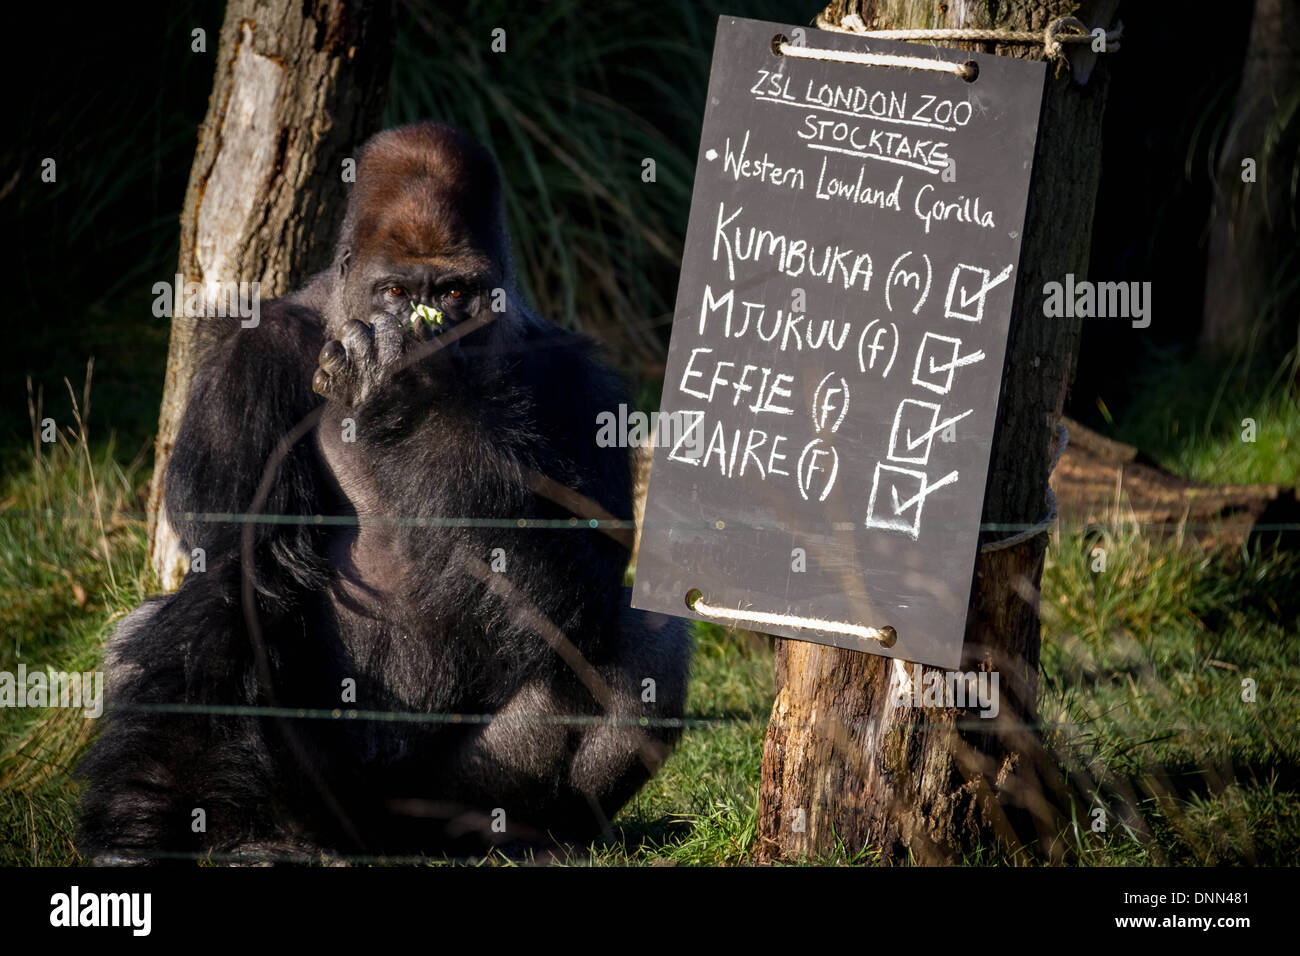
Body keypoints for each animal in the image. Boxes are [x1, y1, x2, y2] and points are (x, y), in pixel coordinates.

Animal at [76, 122, 689, 863]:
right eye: (395, 291)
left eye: (454, 293)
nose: (428, 329)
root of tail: (386, 833)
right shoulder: (246, 357)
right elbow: (235, 570)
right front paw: (139, 822)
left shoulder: (583, 377)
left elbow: (585, 580)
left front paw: (415, 396)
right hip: (331, 800)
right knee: (183, 617)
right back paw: (261, 834)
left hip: (446, 804)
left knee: (641, 636)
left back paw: (544, 833)